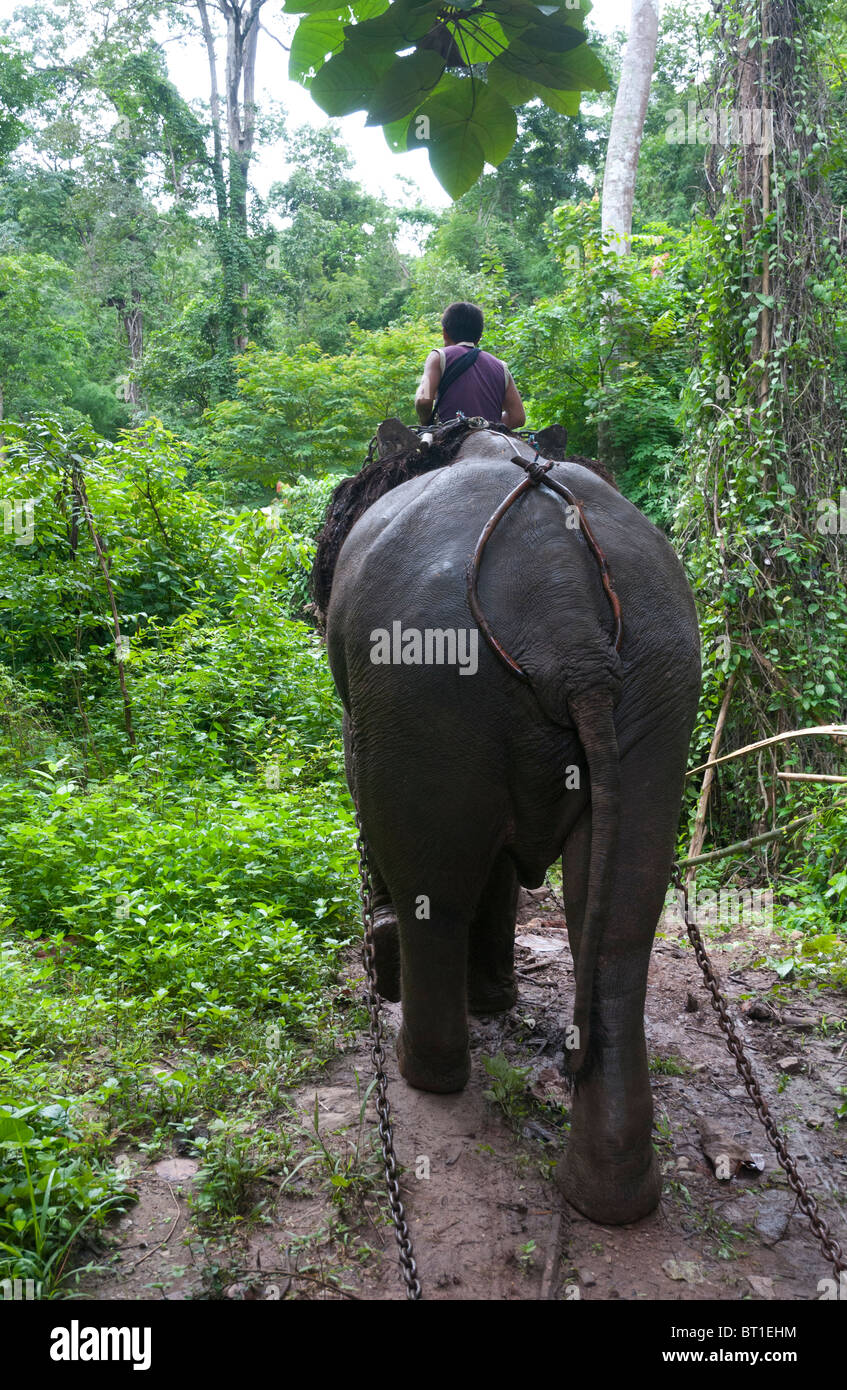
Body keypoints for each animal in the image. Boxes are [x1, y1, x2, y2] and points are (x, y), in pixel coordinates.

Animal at [322, 427, 701, 1226]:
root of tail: (572, 636)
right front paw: (497, 999)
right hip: (660, 682)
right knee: (620, 924)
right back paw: (610, 1198)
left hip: (422, 680)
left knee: (433, 890)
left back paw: (422, 1069)